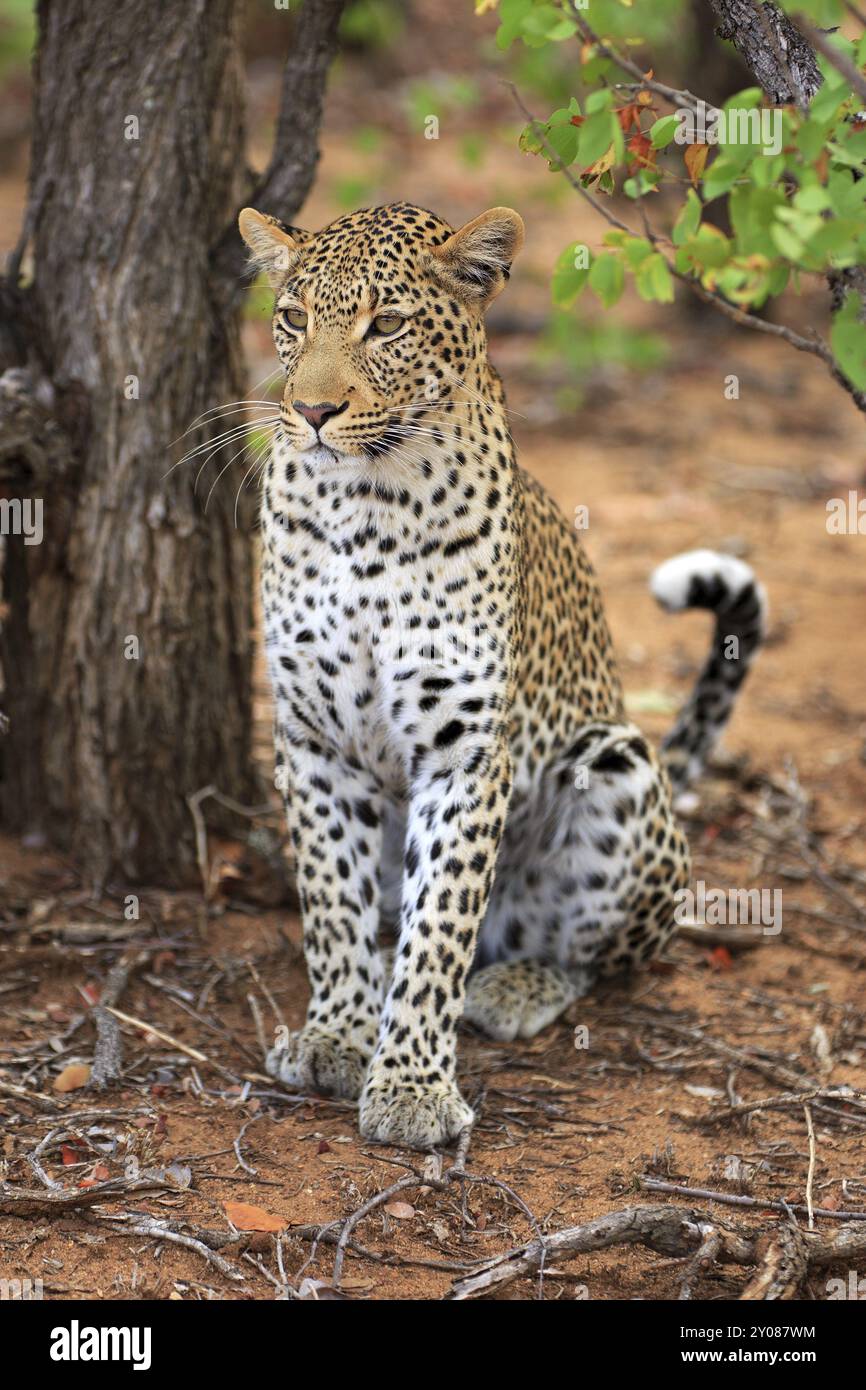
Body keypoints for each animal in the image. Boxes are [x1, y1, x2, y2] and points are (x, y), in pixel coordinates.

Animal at [238, 200, 767, 1150]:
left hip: (618, 764)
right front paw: (337, 1035)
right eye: (293, 319)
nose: (311, 410)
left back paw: (516, 985)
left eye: (387, 325)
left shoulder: (466, 750)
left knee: (595, 953)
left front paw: (411, 1087)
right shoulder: (312, 739)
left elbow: (442, 927)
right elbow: (330, 902)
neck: (362, 507)